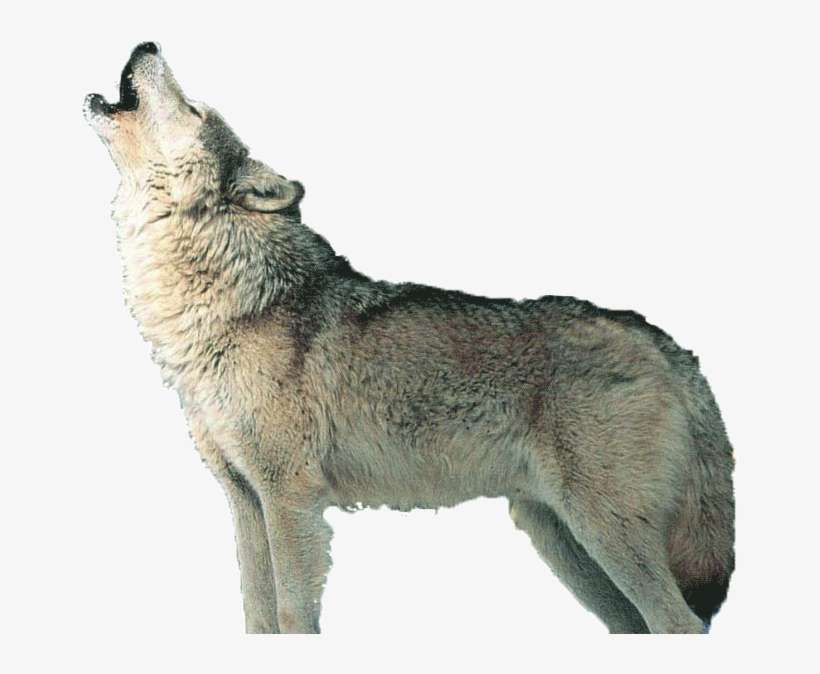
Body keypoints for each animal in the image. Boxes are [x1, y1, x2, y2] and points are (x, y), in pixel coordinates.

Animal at [85, 42, 735, 634]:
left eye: (193, 108)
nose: (147, 43)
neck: (230, 301)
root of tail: (668, 344)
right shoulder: (244, 498)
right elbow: (256, 616)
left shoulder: (289, 497)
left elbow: (293, 616)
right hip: (566, 545)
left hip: (604, 533)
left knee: (680, 624)